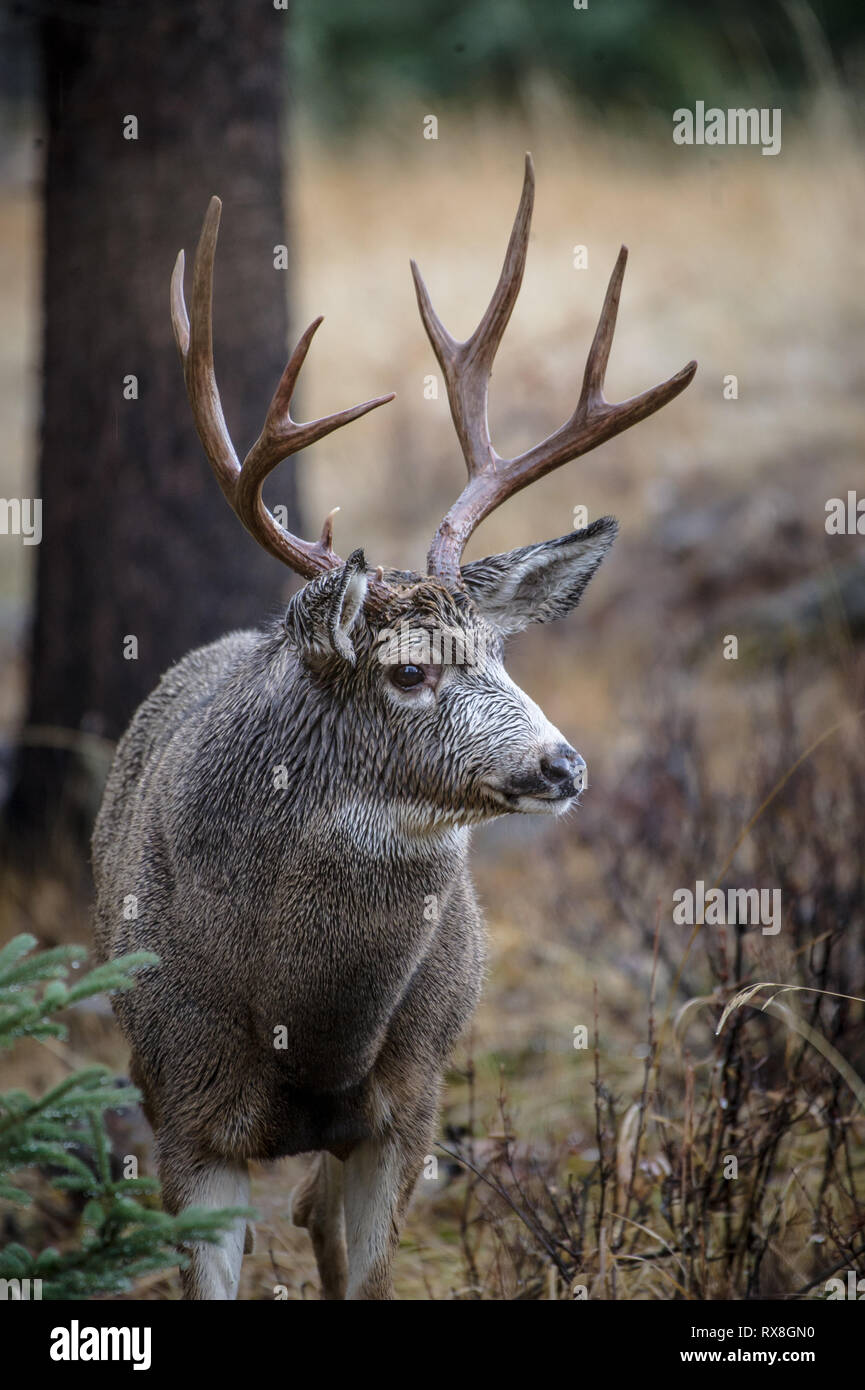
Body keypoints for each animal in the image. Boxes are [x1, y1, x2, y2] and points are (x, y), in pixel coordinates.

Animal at [92, 154, 696, 1300]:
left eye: (501, 654)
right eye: (409, 671)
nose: (561, 764)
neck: (306, 1020)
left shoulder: (409, 1106)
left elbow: (366, 1268)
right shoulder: (182, 1111)